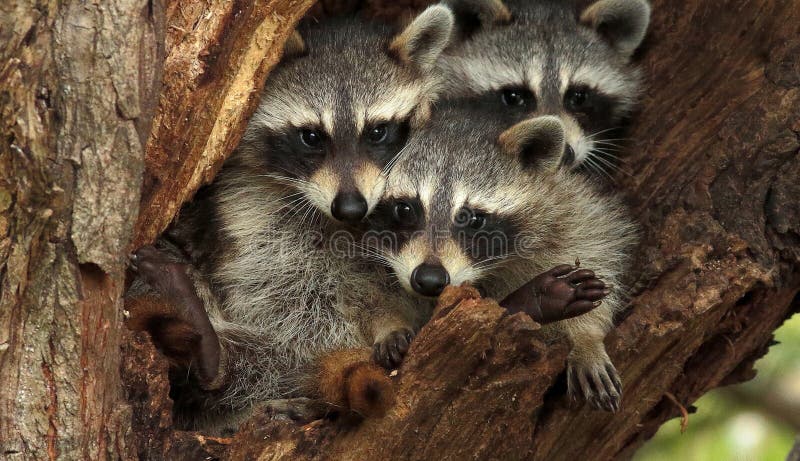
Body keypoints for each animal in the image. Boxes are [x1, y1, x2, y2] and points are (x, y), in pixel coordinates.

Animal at [366, 101, 638, 411]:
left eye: (472, 218)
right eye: (405, 209)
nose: (429, 279)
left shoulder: (566, 203)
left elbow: (596, 246)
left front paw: (586, 338)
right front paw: (389, 322)